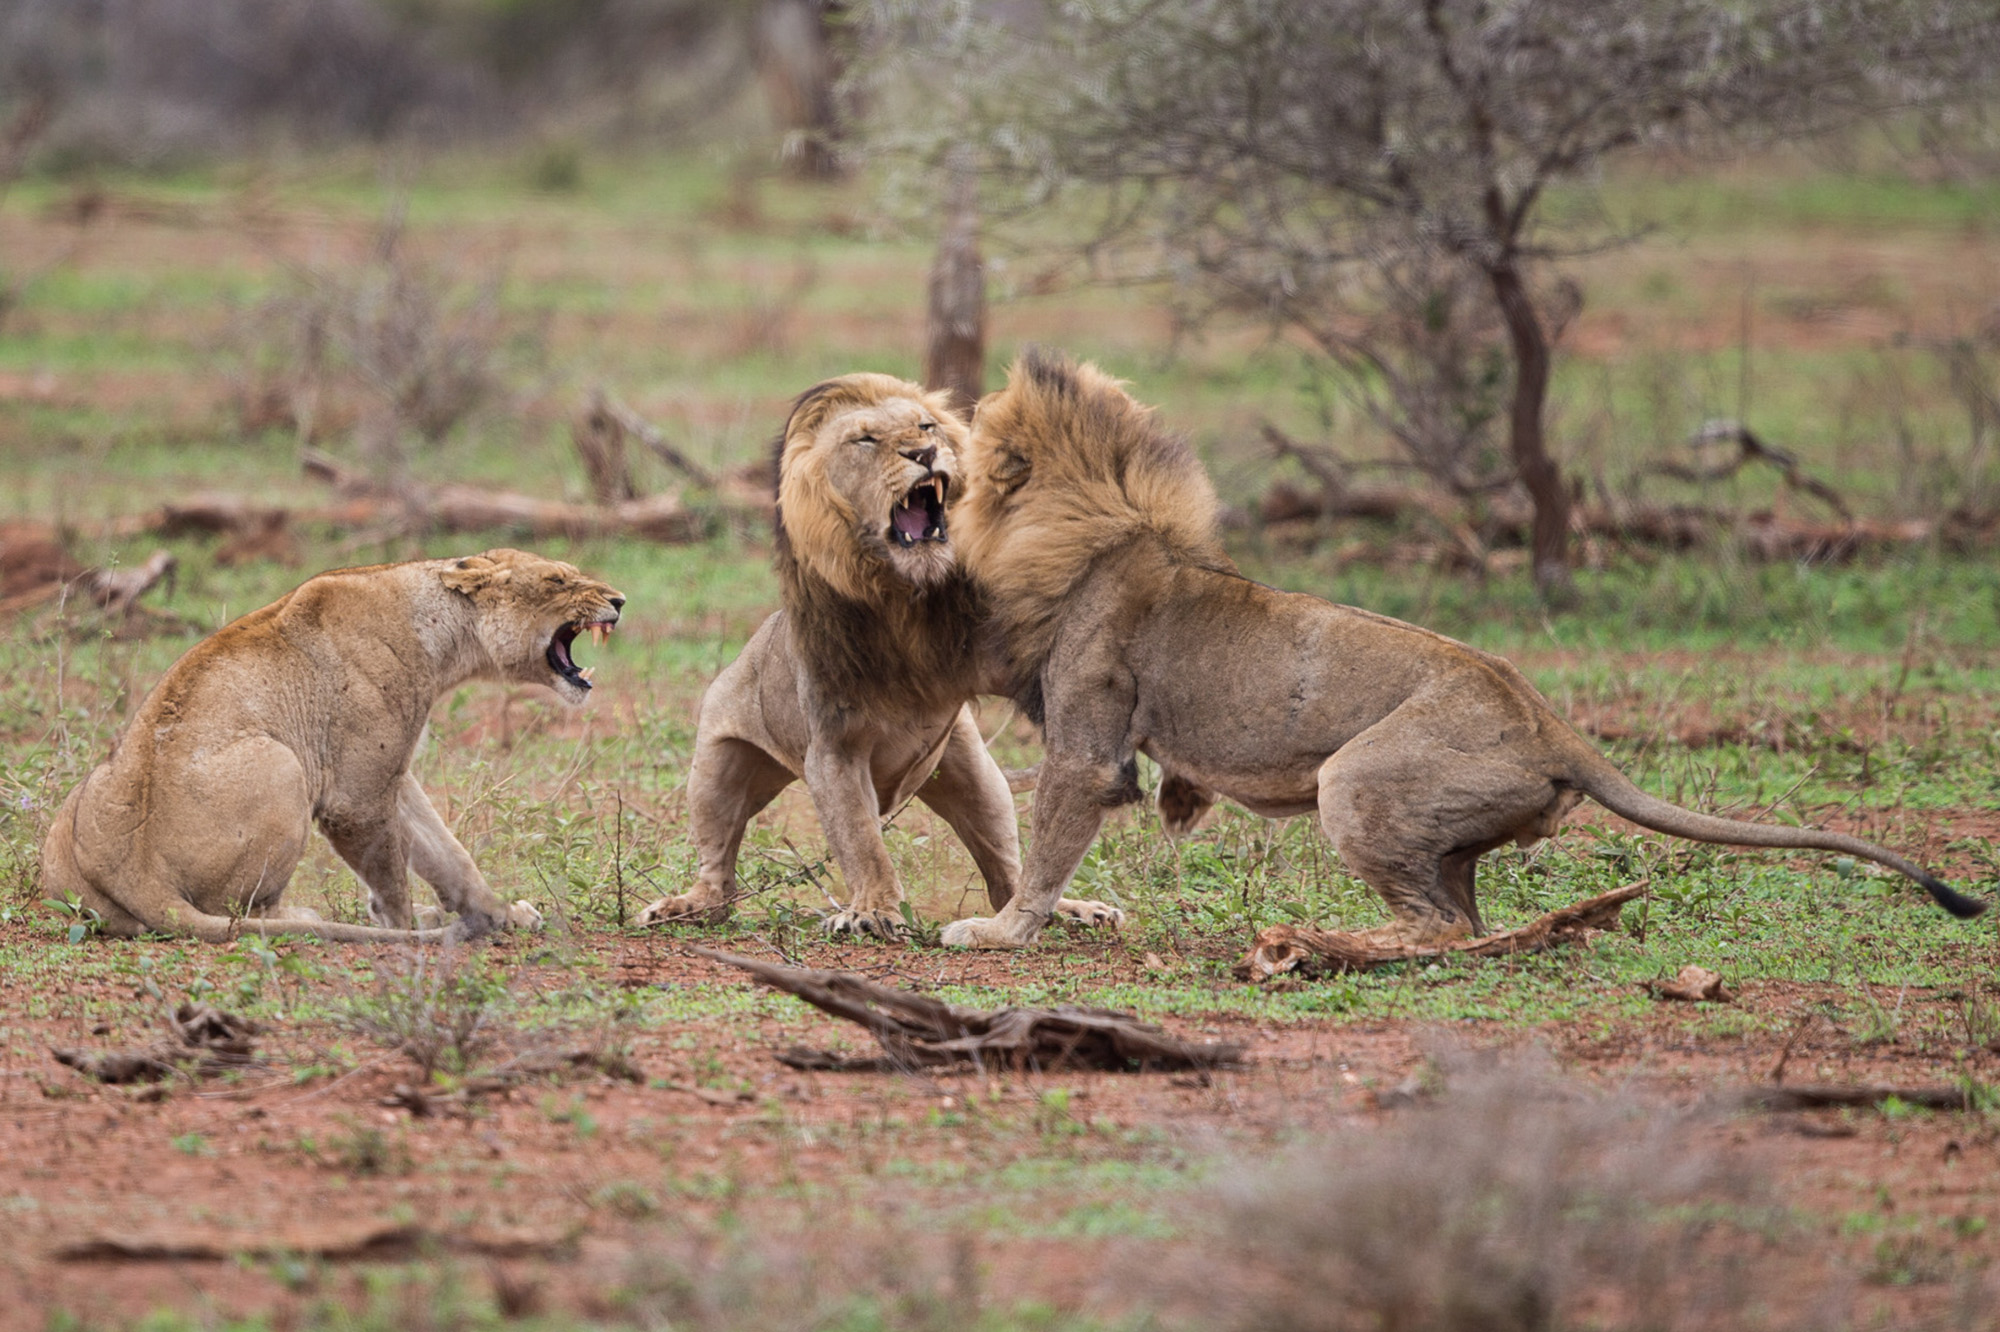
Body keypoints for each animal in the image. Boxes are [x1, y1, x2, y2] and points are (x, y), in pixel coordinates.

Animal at [40, 549, 624, 943]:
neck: (447, 634)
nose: (620, 599)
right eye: (557, 579)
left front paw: (501, 913)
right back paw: (308, 918)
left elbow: (445, 851)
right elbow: (392, 872)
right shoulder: (356, 796)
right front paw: (406, 927)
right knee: (237, 913)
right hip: (282, 763)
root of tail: (138, 876)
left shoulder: (390, 771)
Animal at [634, 373, 1122, 937]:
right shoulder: (834, 746)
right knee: (719, 882)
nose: (924, 452)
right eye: (865, 440)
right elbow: (861, 840)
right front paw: (874, 911)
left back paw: (1070, 911)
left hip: (976, 774)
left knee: (1007, 875)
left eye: (926, 426)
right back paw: (682, 907)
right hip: (716, 766)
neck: (903, 596)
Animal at [938, 350, 1986, 949]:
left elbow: (1049, 845)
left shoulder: (1088, 742)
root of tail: (1555, 729)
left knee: (1438, 929)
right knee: (1470, 924)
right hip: (1447, 827)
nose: (933, 452)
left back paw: (1324, 940)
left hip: (1356, 779)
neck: (1095, 522)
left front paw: (999, 932)